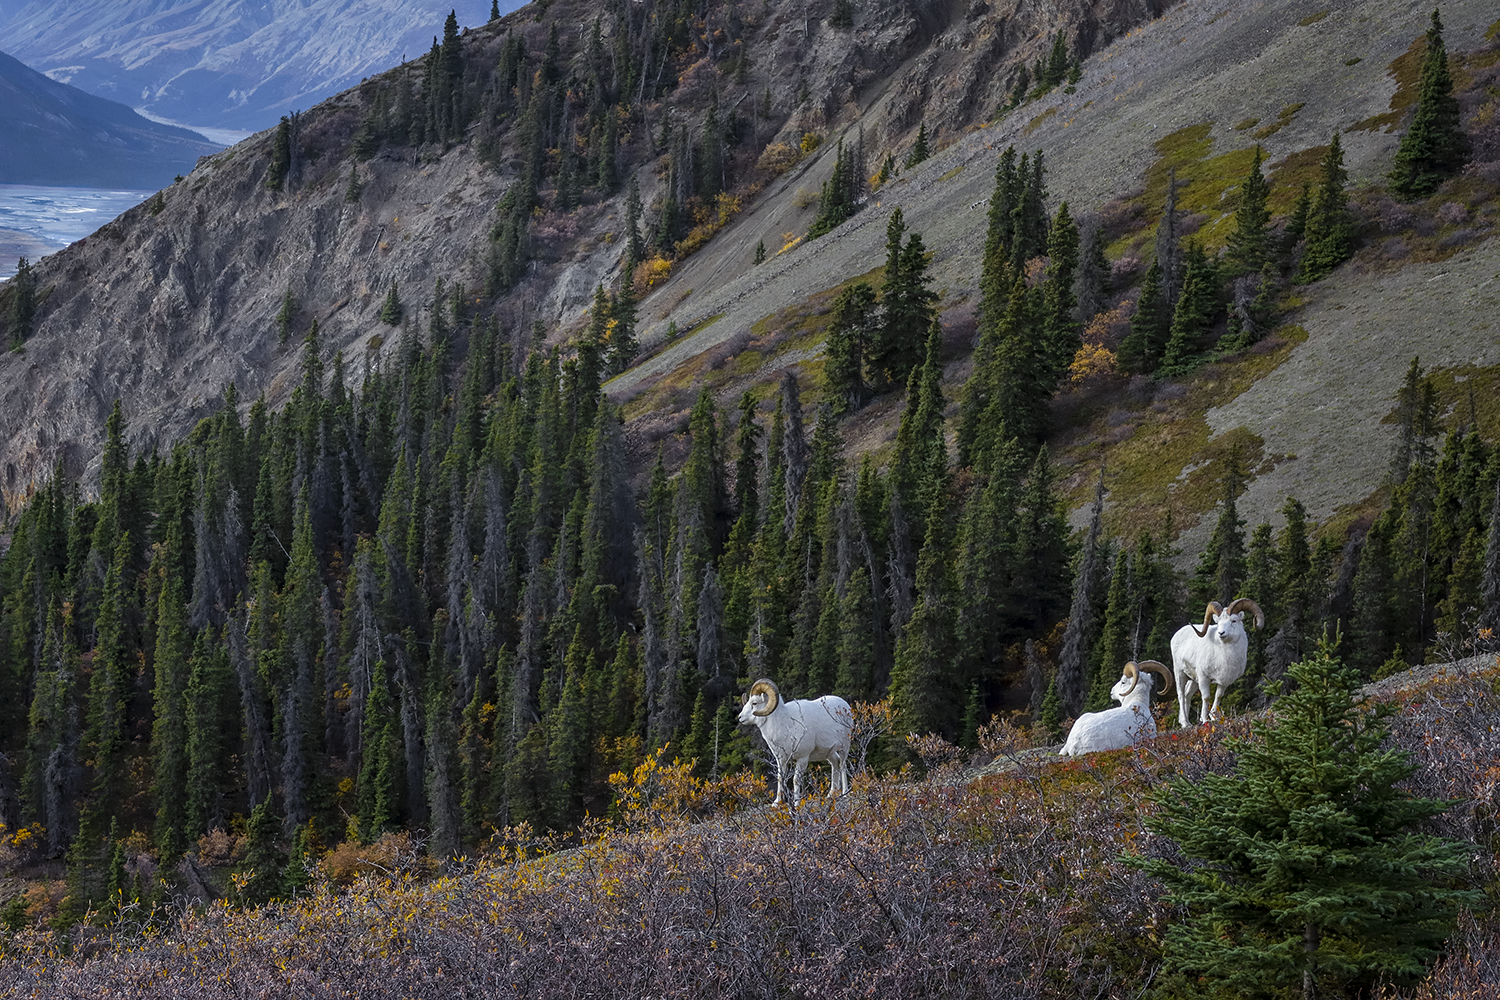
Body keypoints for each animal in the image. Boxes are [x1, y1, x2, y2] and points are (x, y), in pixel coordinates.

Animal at [737, 678, 852, 807]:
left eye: (754, 703)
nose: (740, 717)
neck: (785, 725)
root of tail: (845, 706)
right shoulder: (781, 759)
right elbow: (780, 778)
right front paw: (777, 803)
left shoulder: (802, 758)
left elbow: (796, 780)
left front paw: (797, 803)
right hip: (829, 753)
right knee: (835, 764)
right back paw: (830, 795)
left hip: (844, 747)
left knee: (842, 766)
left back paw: (845, 794)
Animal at [1171, 598, 1265, 726]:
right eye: (1218, 622)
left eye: (1234, 620)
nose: (1221, 633)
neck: (1223, 656)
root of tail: (1176, 635)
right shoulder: (1204, 678)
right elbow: (1206, 698)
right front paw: (1205, 720)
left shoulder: (1223, 682)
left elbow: (1218, 697)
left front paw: (1214, 717)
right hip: (1180, 673)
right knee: (1181, 695)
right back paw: (1185, 724)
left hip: (1193, 680)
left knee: (1187, 695)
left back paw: (1186, 723)